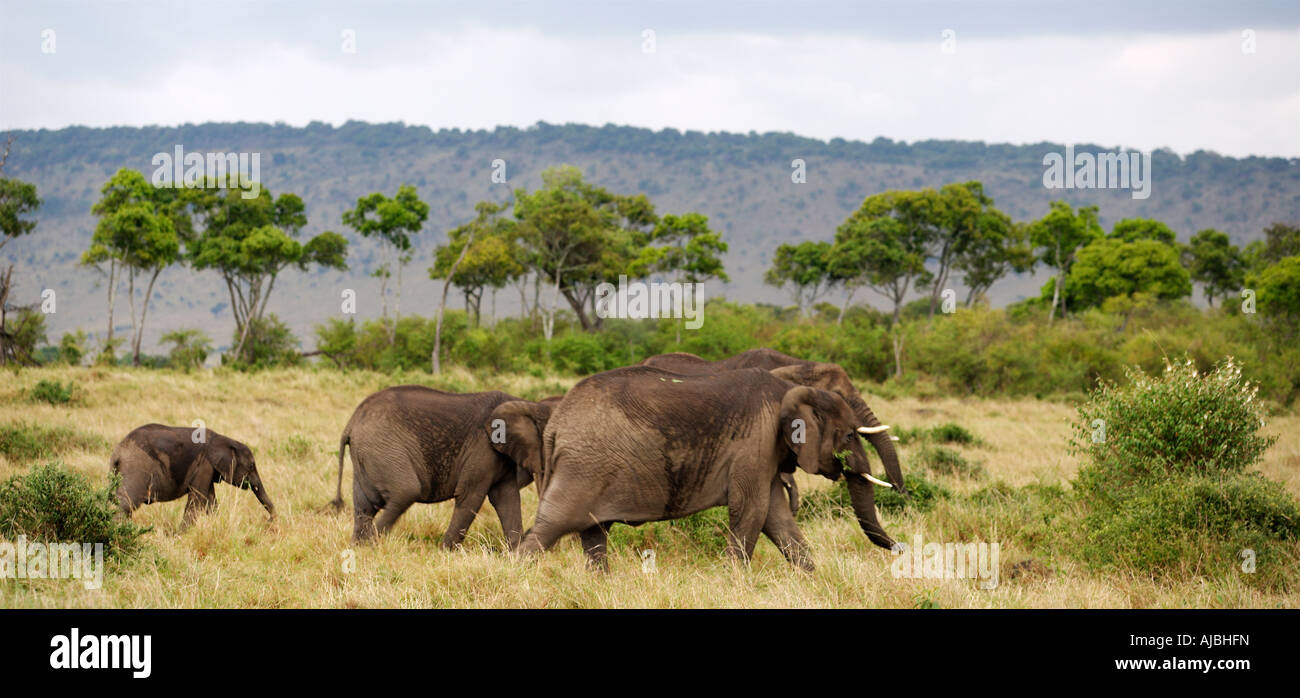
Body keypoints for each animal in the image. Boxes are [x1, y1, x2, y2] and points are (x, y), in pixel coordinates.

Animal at [110, 424, 275, 528]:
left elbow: (210, 501)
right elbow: (196, 501)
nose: (268, 522)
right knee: (127, 503)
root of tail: (118, 452)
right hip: (137, 469)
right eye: (251, 466)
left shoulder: (207, 469)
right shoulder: (205, 465)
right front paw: (179, 536)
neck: (224, 439)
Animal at [332, 386, 555, 548]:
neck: (530, 405)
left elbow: (507, 497)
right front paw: (445, 552)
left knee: (364, 506)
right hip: (383, 448)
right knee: (405, 492)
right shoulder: (483, 447)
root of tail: (351, 423)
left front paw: (517, 556)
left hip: (367, 455)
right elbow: (471, 497)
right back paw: (372, 544)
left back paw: (358, 548)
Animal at [516, 366, 897, 571]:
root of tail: (555, 424)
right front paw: (736, 583)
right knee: (551, 528)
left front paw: (812, 579)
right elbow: (751, 512)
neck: (791, 389)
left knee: (593, 533)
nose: (901, 548)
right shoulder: (755, 441)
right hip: (584, 466)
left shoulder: (764, 453)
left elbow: (777, 519)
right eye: (849, 435)